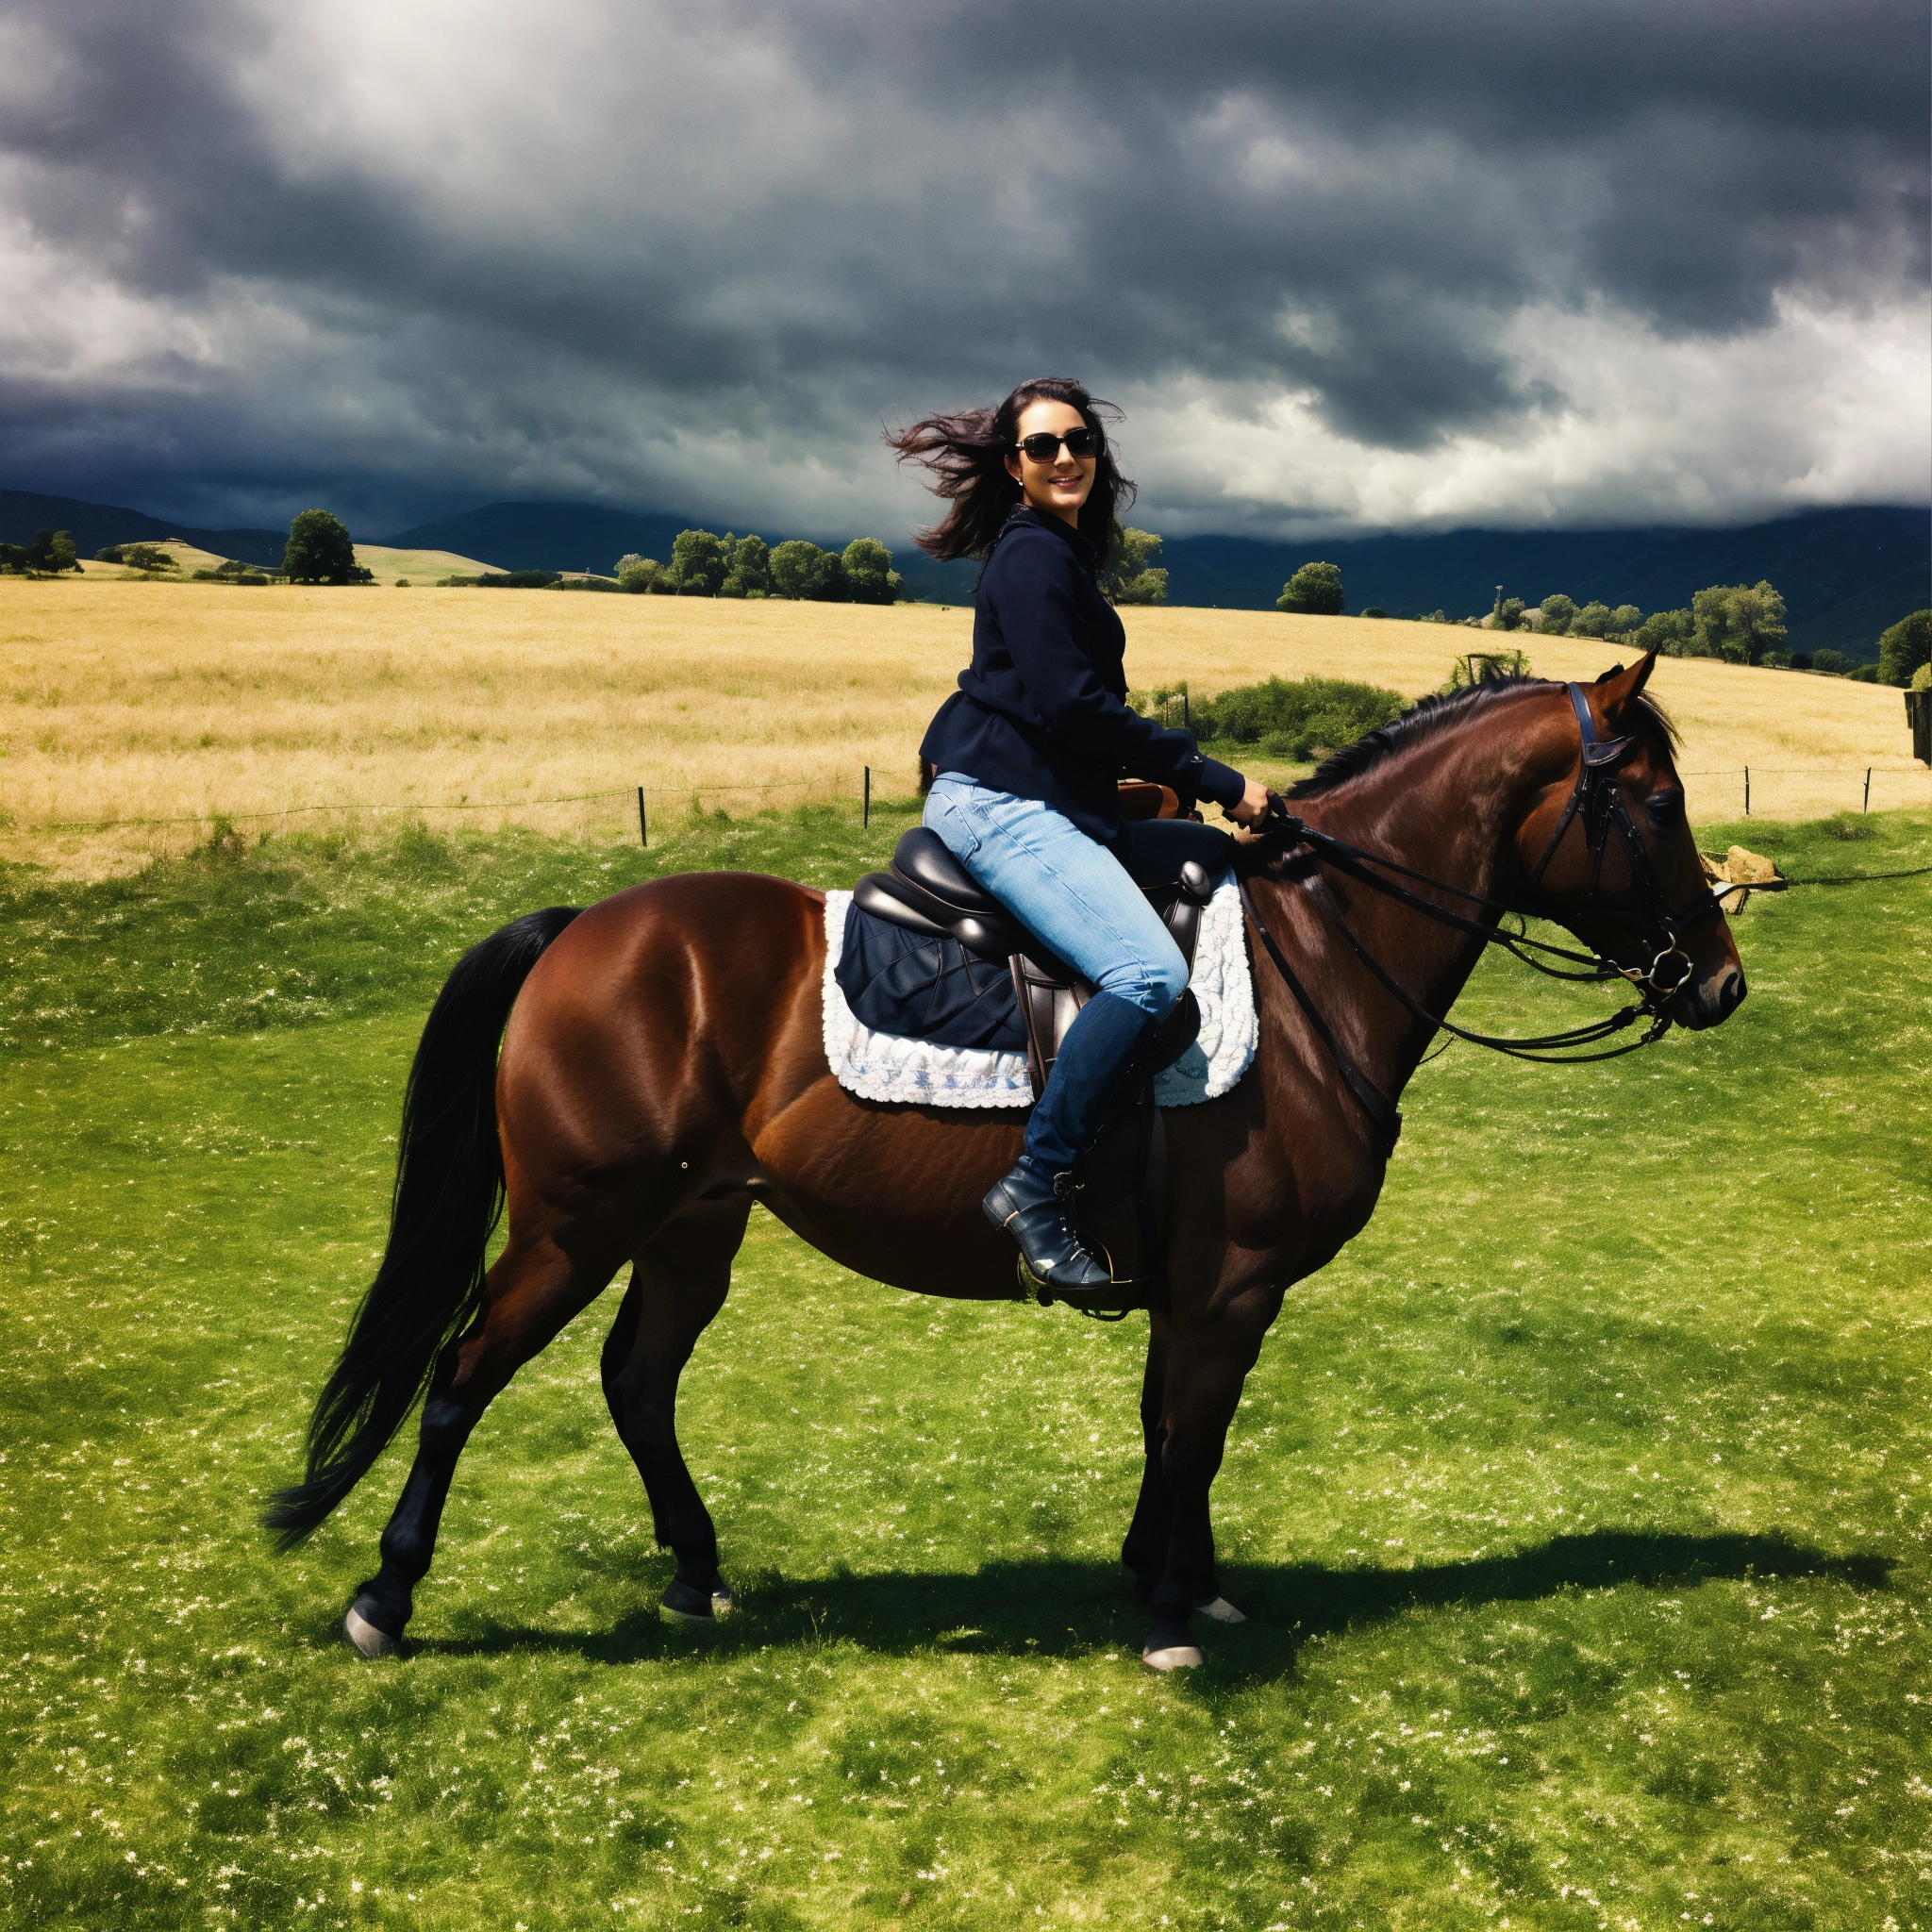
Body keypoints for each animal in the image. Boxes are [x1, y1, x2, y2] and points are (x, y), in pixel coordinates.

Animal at [267, 655, 1746, 1669]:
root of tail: (582, 930)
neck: (1310, 958)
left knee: (637, 1382)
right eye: (1657, 800)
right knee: (460, 1379)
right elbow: (1193, 1433)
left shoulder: (1197, 1289)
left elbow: (1169, 1431)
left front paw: (1173, 1575)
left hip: (693, 1224)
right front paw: (1169, 1612)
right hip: (575, 1228)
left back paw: (694, 1571)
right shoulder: (1232, 1286)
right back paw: (386, 1596)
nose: (1720, 980)